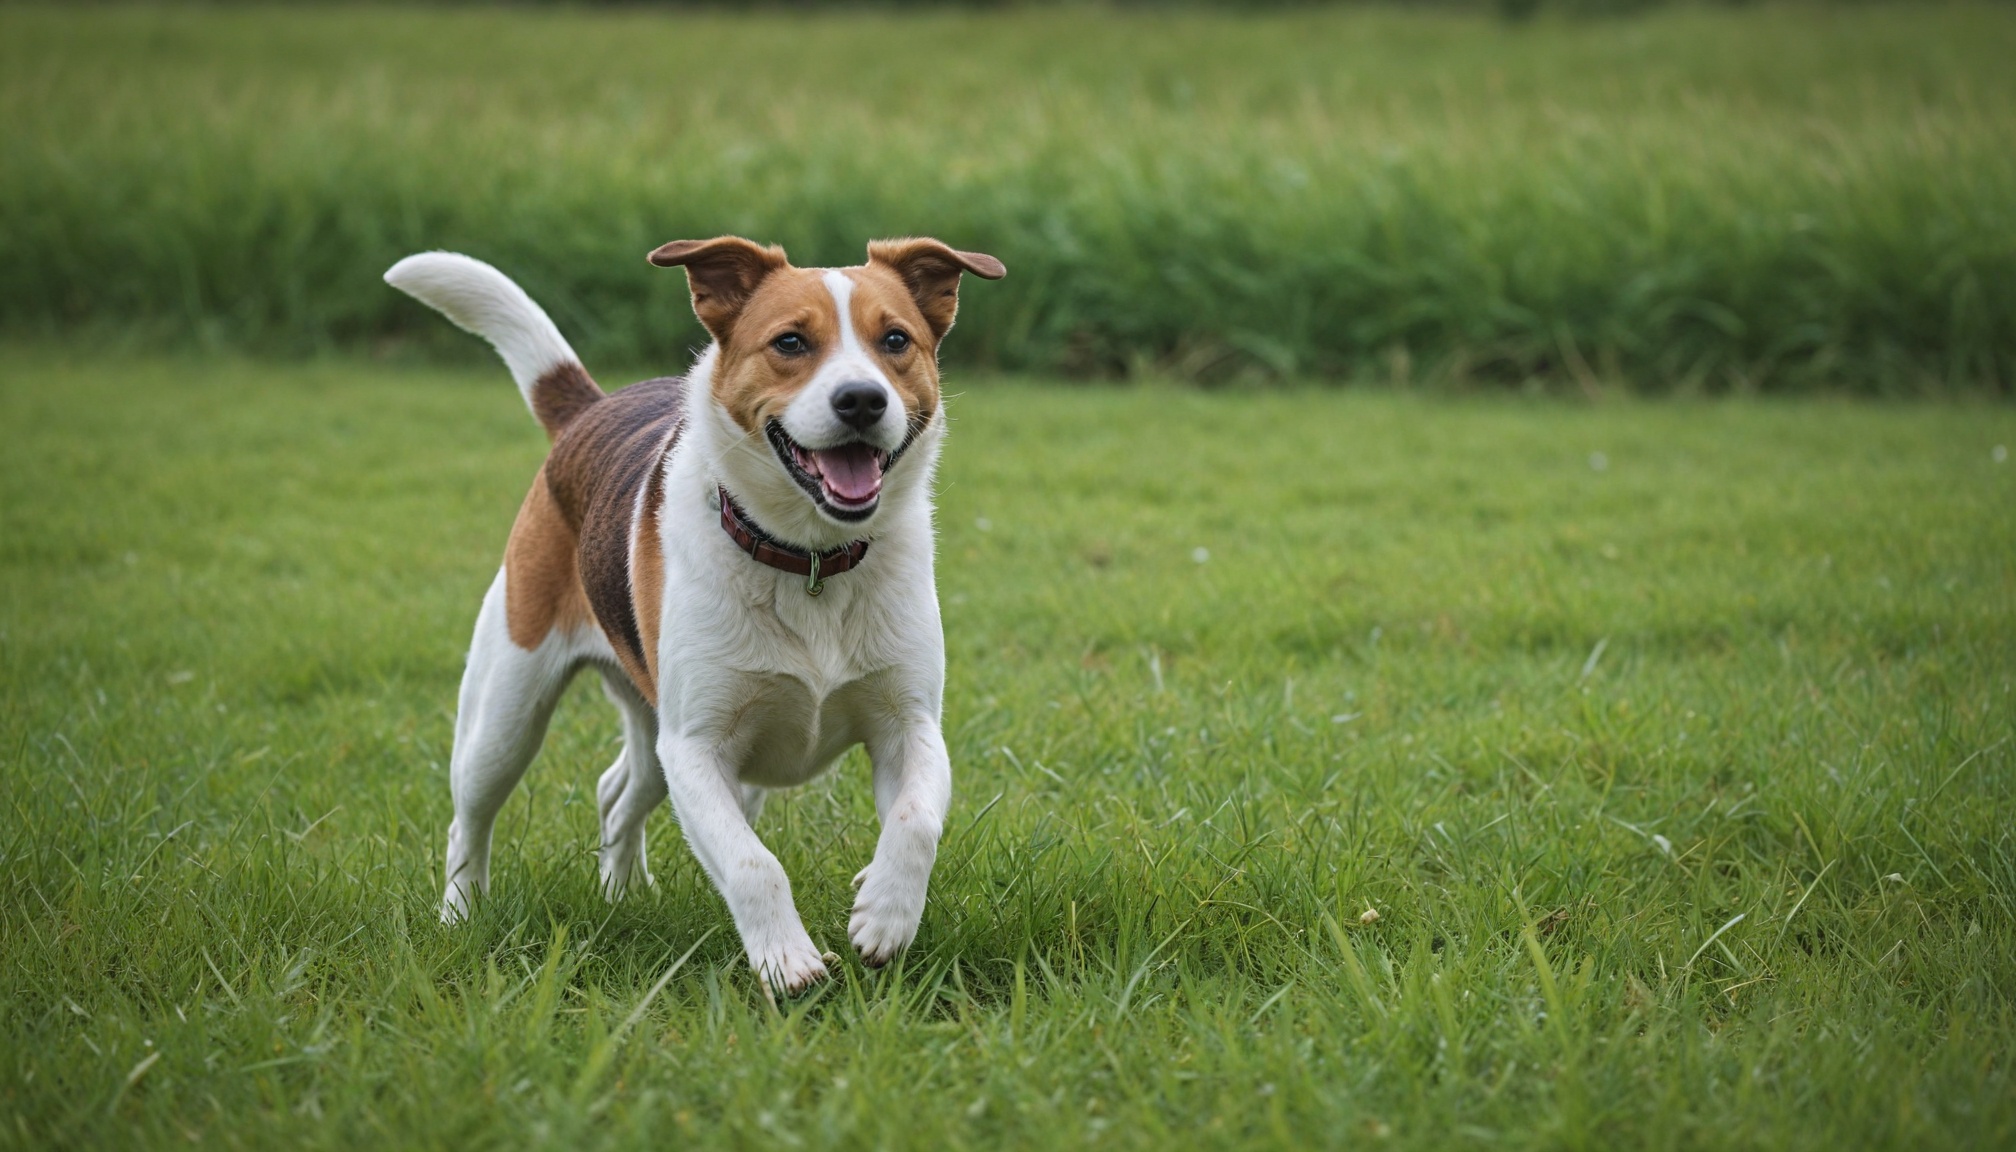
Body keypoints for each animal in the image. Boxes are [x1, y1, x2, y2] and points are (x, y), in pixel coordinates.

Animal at [381, 234, 1003, 992]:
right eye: (790, 342)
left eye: (896, 341)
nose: (861, 399)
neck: (809, 558)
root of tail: (586, 412)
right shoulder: (697, 746)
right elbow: (752, 863)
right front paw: (787, 960)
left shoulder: (909, 725)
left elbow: (915, 823)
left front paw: (884, 915)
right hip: (509, 708)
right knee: (470, 817)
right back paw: (460, 915)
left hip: (650, 729)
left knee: (617, 792)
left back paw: (621, 894)